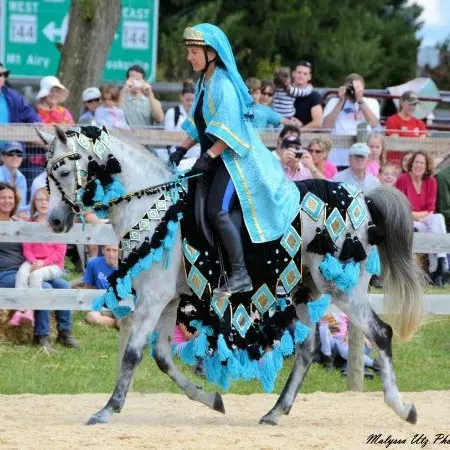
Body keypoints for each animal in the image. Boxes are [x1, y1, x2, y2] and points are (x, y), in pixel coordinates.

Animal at [39, 125, 426, 426]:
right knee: (308, 350)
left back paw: (402, 407)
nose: (55, 221)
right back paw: (275, 411)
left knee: (380, 334)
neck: (155, 208)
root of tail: (362, 201)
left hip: (344, 289)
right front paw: (211, 399)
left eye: (63, 172)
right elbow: (162, 357)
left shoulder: (153, 298)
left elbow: (133, 354)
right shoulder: (167, 300)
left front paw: (108, 409)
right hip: (304, 291)